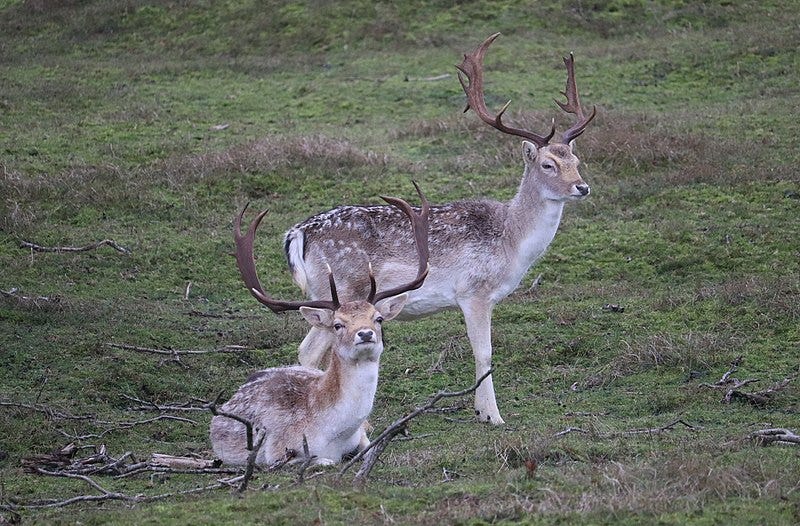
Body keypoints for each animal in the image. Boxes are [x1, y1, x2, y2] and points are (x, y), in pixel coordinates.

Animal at [209, 187, 430, 466]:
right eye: (338, 324)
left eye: (378, 318)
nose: (365, 333)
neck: (333, 433)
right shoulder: (275, 453)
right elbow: (322, 461)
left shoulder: (361, 438)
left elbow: (368, 447)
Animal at [282, 33, 596, 425]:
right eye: (548, 164)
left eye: (577, 160)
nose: (582, 187)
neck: (510, 242)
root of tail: (298, 234)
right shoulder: (474, 292)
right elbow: (484, 353)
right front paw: (491, 416)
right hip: (339, 291)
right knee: (309, 350)